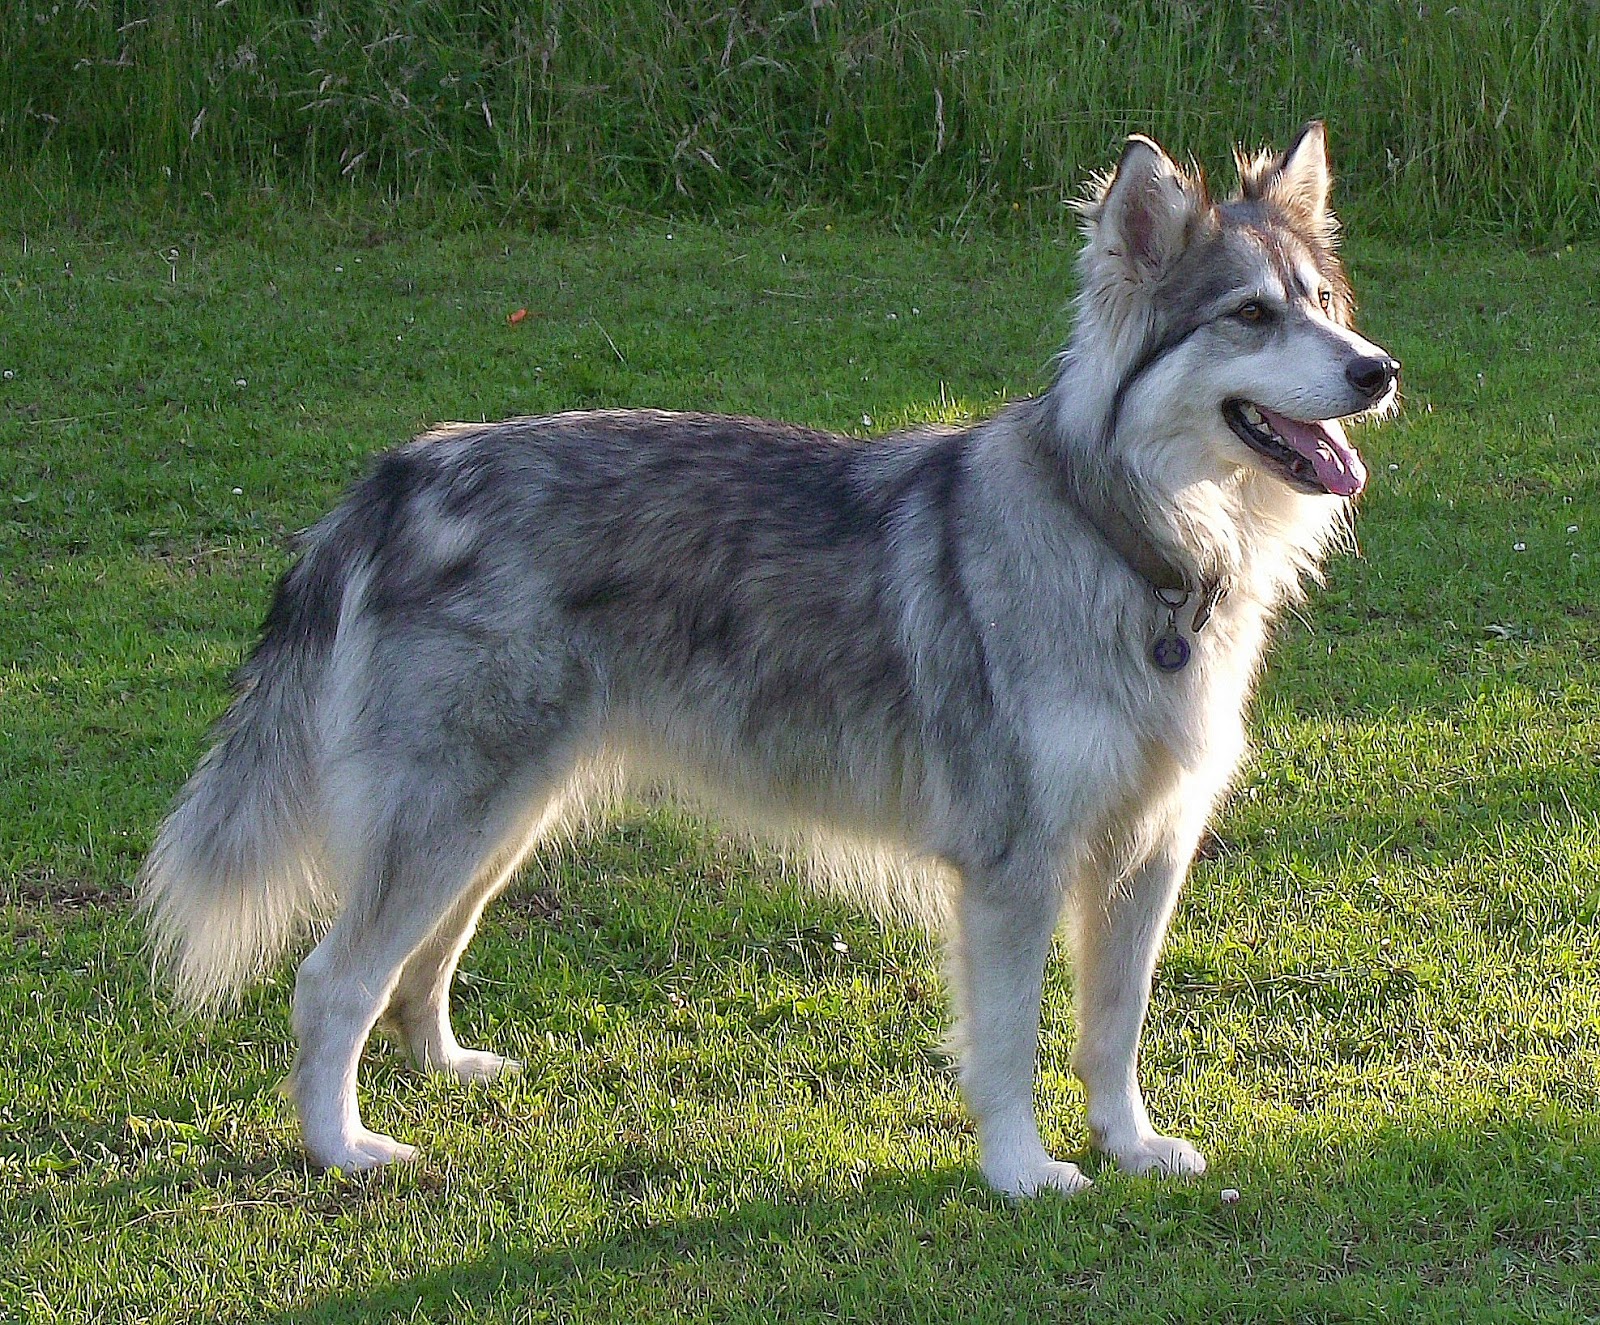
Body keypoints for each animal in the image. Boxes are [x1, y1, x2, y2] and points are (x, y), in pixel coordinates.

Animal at [138, 122, 1397, 1196]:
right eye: (1249, 315)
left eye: (1324, 305)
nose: (1377, 370)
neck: (1138, 543)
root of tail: (406, 467)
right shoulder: (1015, 864)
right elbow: (1008, 1041)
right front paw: (1021, 1170)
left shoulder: (1147, 849)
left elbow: (1112, 1028)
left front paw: (1128, 1146)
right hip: (452, 812)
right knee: (333, 980)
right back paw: (341, 1148)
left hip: (497, 817)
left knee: (420, 964)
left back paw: (446, 1068)